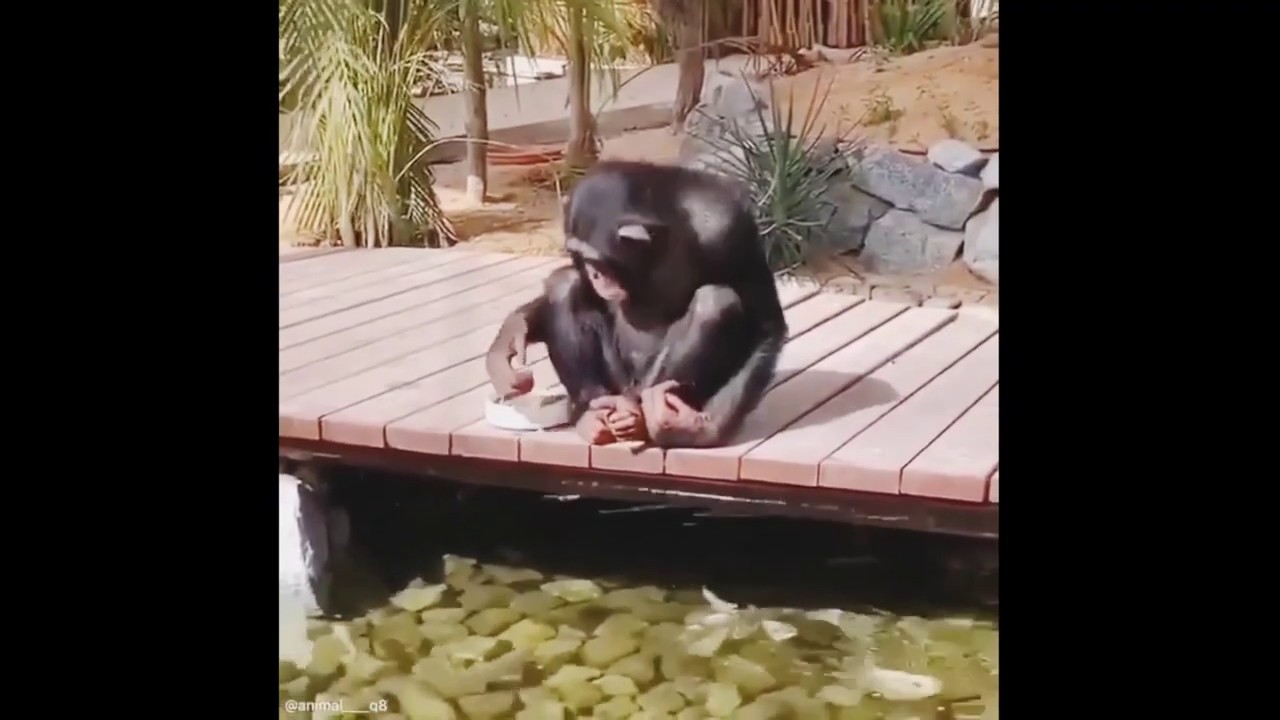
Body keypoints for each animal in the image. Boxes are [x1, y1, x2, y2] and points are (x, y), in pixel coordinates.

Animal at [485, 160, 787, 449]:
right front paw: (511, 335)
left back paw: (645, 419)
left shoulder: (728, 228)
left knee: (715, 301)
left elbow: (765, 321)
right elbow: (575, 284)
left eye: (597, 259)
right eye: (579, 255)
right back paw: (591, 413)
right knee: (565, 284)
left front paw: (699, 430)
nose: (594, 274)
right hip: (615, 384)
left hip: (646, 388)